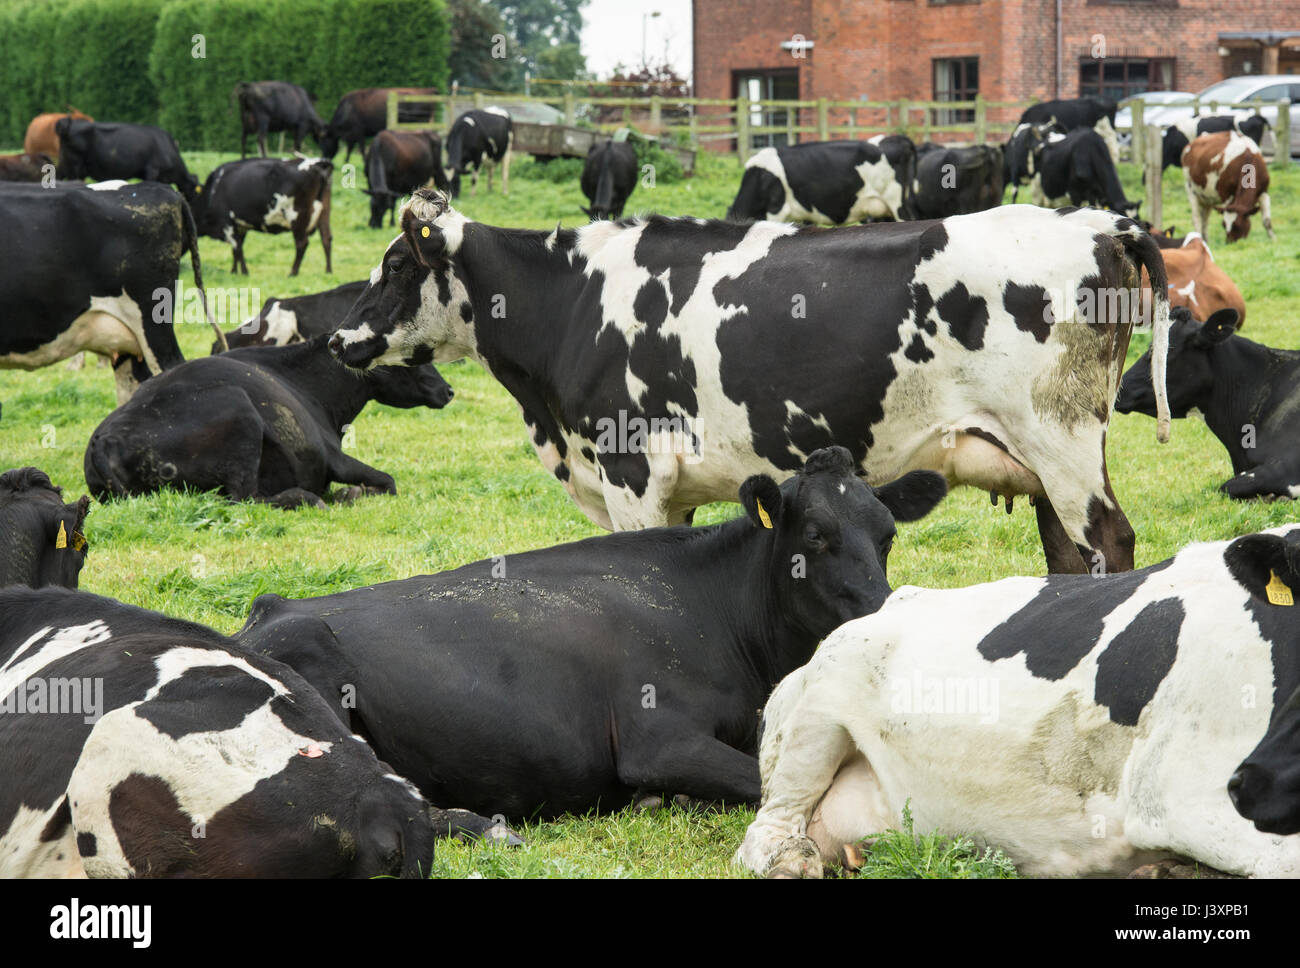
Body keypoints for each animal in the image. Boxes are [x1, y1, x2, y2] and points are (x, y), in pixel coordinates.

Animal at [53, 119, 200, 198]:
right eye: (193, 188)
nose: (191, 200)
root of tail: (67, 122)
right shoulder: (152, 170)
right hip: (75, 165)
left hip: (64, 163)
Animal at [85, 334, 452, 509]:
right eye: (410, 355)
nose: (448, 390)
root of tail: (103, 440)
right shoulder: (333, 457)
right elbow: (388, 481)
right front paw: (351, 493)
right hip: (240, 416)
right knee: (245, 499)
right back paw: (307, 498)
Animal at [191, 157, 333, 276]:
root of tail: (317, 163)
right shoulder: (240, 225)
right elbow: (236, 250)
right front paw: (234, 271)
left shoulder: (227, 222)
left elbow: (238, 248)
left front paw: (244, 272)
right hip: (324, 213)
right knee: (326, 239)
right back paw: (328, 270)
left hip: (297, 216)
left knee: (302, 243)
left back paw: (293, 272)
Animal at [329, 189, 1173, 575]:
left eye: (396, 266)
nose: (337, 338)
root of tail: (1098, 221)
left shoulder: (633, 470)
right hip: (1042, 460)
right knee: (1070, 558)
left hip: (1061, 440)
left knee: (1110, 540)